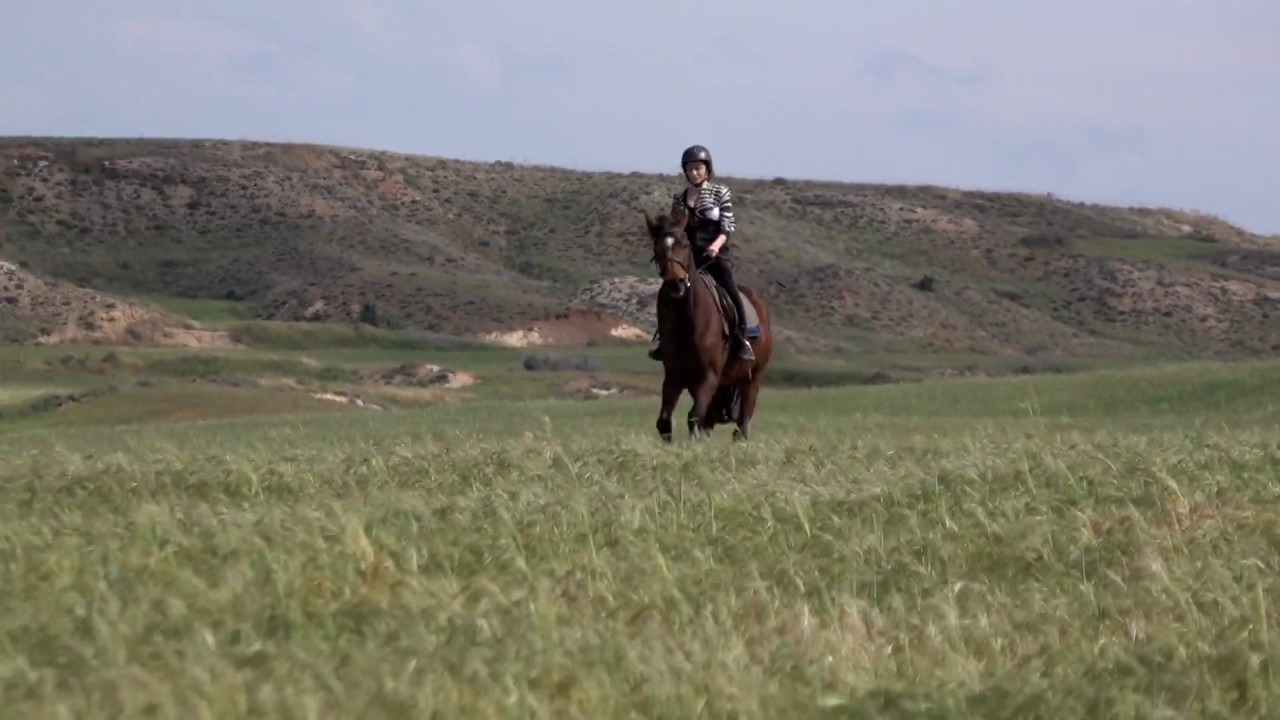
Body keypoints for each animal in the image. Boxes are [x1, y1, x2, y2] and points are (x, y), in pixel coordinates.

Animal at [644, 207, 773, 442]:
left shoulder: (709, 376)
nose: (676, 283)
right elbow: (665, 421)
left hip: (752, 379)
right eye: (657, 248)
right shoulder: (674, 376)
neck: (688, 321)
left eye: (684, 244)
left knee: (742, 423)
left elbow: (694, 418)